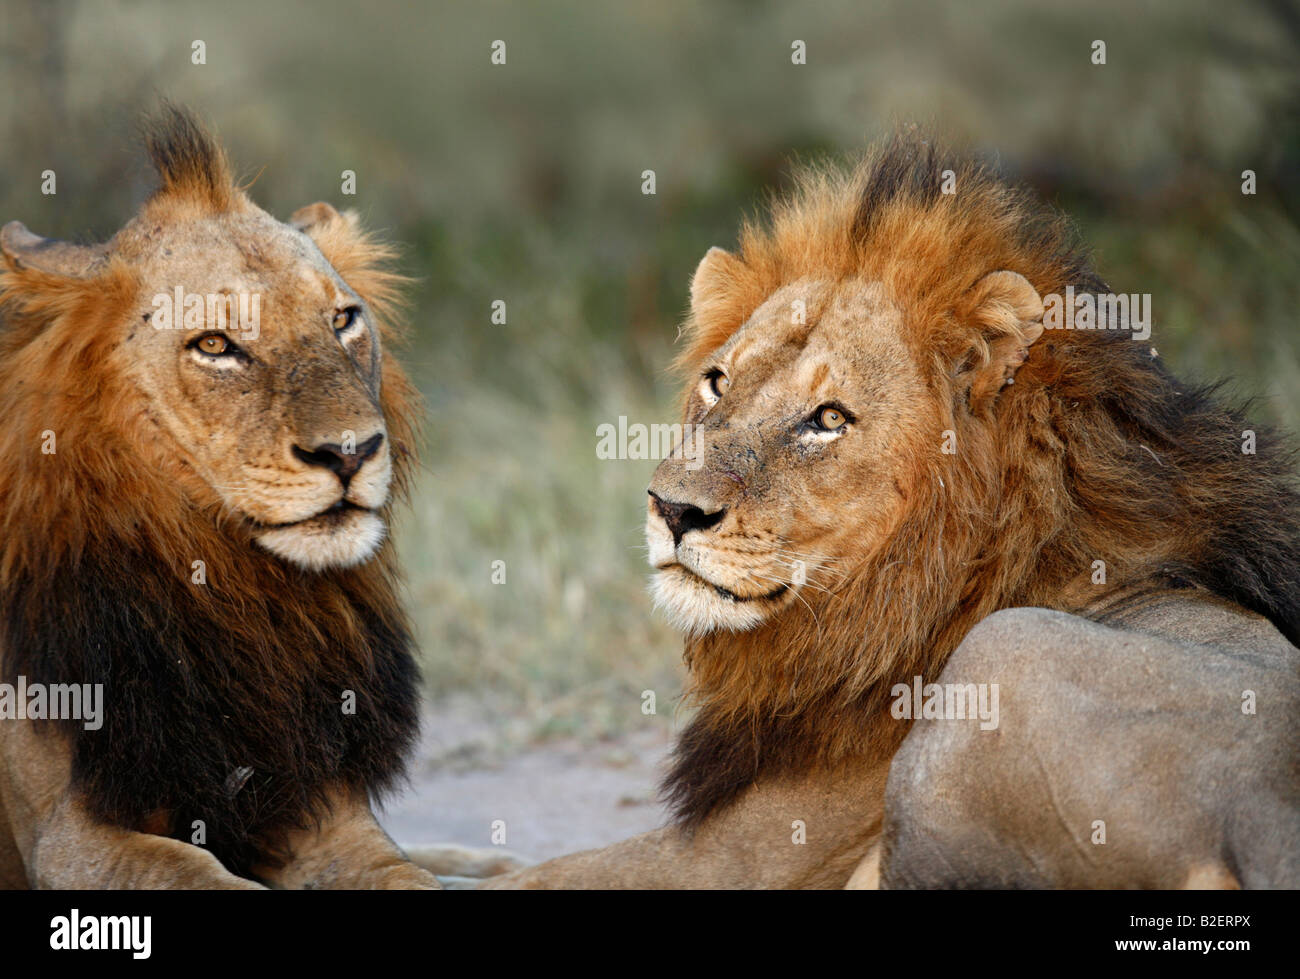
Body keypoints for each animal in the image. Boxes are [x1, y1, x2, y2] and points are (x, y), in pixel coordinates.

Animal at [0, 106, 503, 889]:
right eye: (215, 345)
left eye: (342, 320)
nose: (350, 451)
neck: (231, 582)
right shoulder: (67, 833)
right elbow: (198, 873)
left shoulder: (319, 805)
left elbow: (399, 871)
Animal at [472, 133, 1300, 889]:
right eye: (717, 381)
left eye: (830, 418)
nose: (671, 508)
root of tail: (1262, 826)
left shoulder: (740, 854)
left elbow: (522, 876)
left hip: (1000, 658)